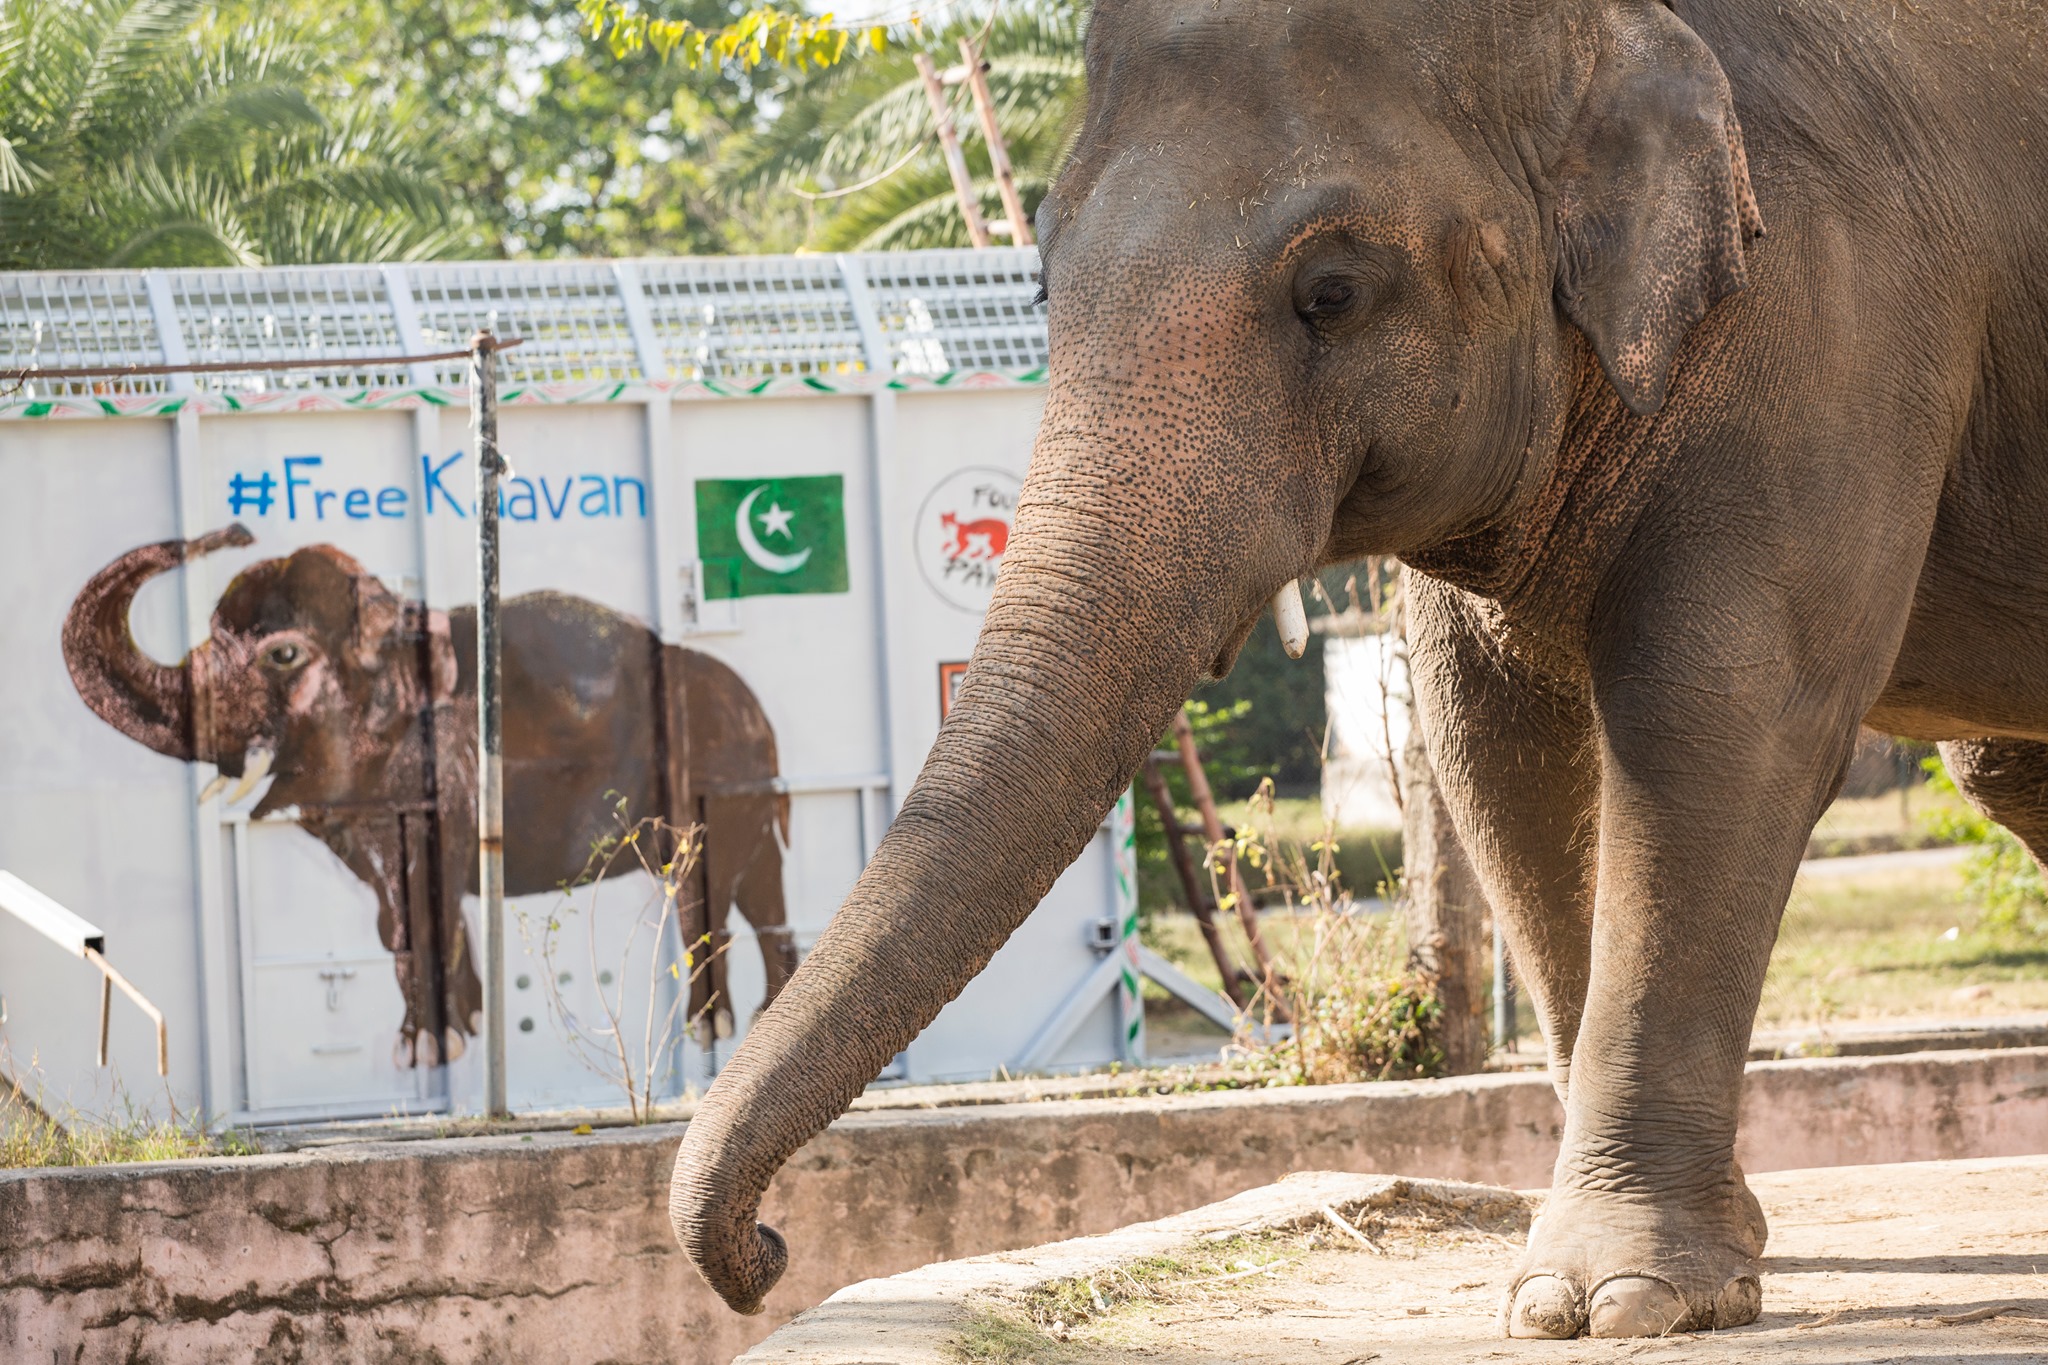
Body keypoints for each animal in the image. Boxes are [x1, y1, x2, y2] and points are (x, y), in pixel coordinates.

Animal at [63, 526, 796, 1065]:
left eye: (282, 655)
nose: (235, 530)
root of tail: (758, 714)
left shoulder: (443, 775)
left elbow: (421, 896)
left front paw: (424, 1051)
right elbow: (403, 908)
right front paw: (461, 1032)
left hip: (717, 779)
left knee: (701, 890)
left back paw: (708, 1033)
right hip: (746, 787)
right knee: (761, 888)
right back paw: (764, 1019)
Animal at [667, 0, 2048, 1339]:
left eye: (1330, 292)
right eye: (1042, 281)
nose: (764, 1255)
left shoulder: (1840, 316)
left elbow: (1720, 718)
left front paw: (1619, 1299)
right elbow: (1490, 743)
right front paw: (1629, 1271)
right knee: (2002, 774)